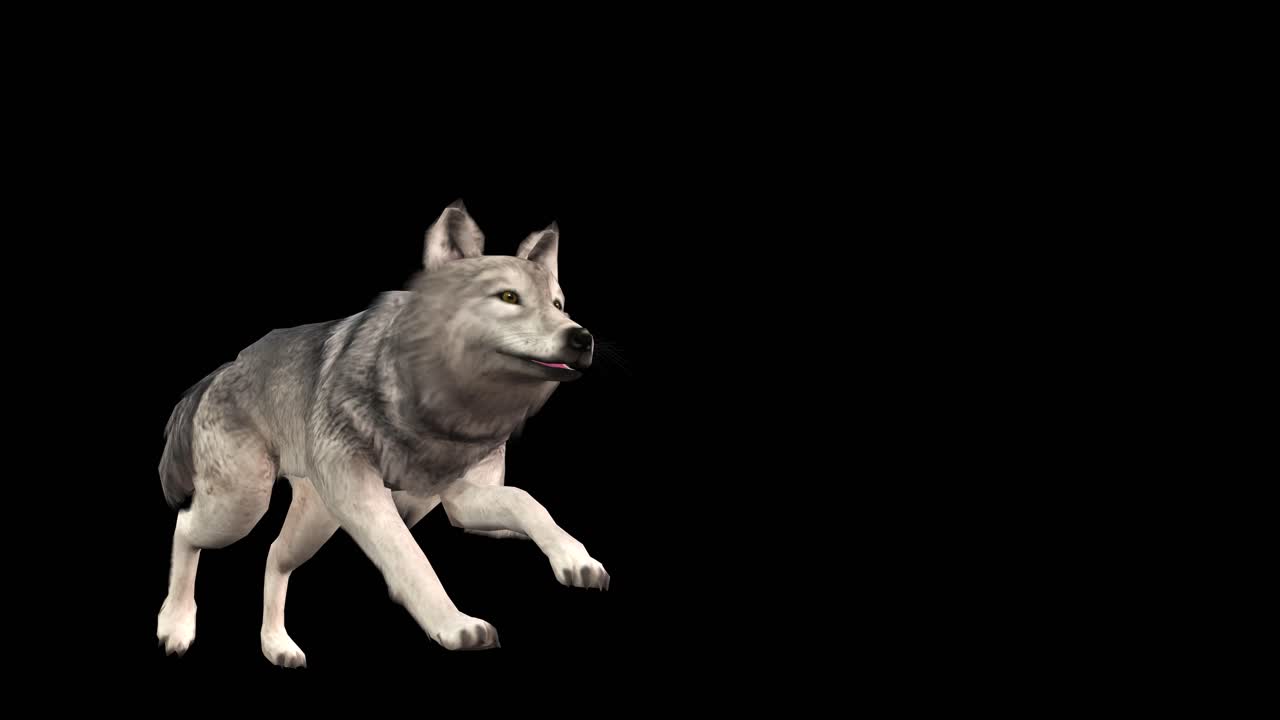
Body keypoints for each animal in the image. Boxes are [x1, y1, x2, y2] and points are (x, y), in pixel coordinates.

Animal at [155, 200, 609, 667]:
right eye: (509, 297)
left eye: (559, 304)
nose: (582, 337)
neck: (445, 409)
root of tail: (222, 369)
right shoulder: (363, 495)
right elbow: (409, 558)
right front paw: (454, 625)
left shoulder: (462, 502)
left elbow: (526, 501)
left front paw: (575, 558)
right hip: (241, 508)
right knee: (185, 529)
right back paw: (176, 624)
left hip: (314, 521)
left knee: (274, 556)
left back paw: (277, 644)